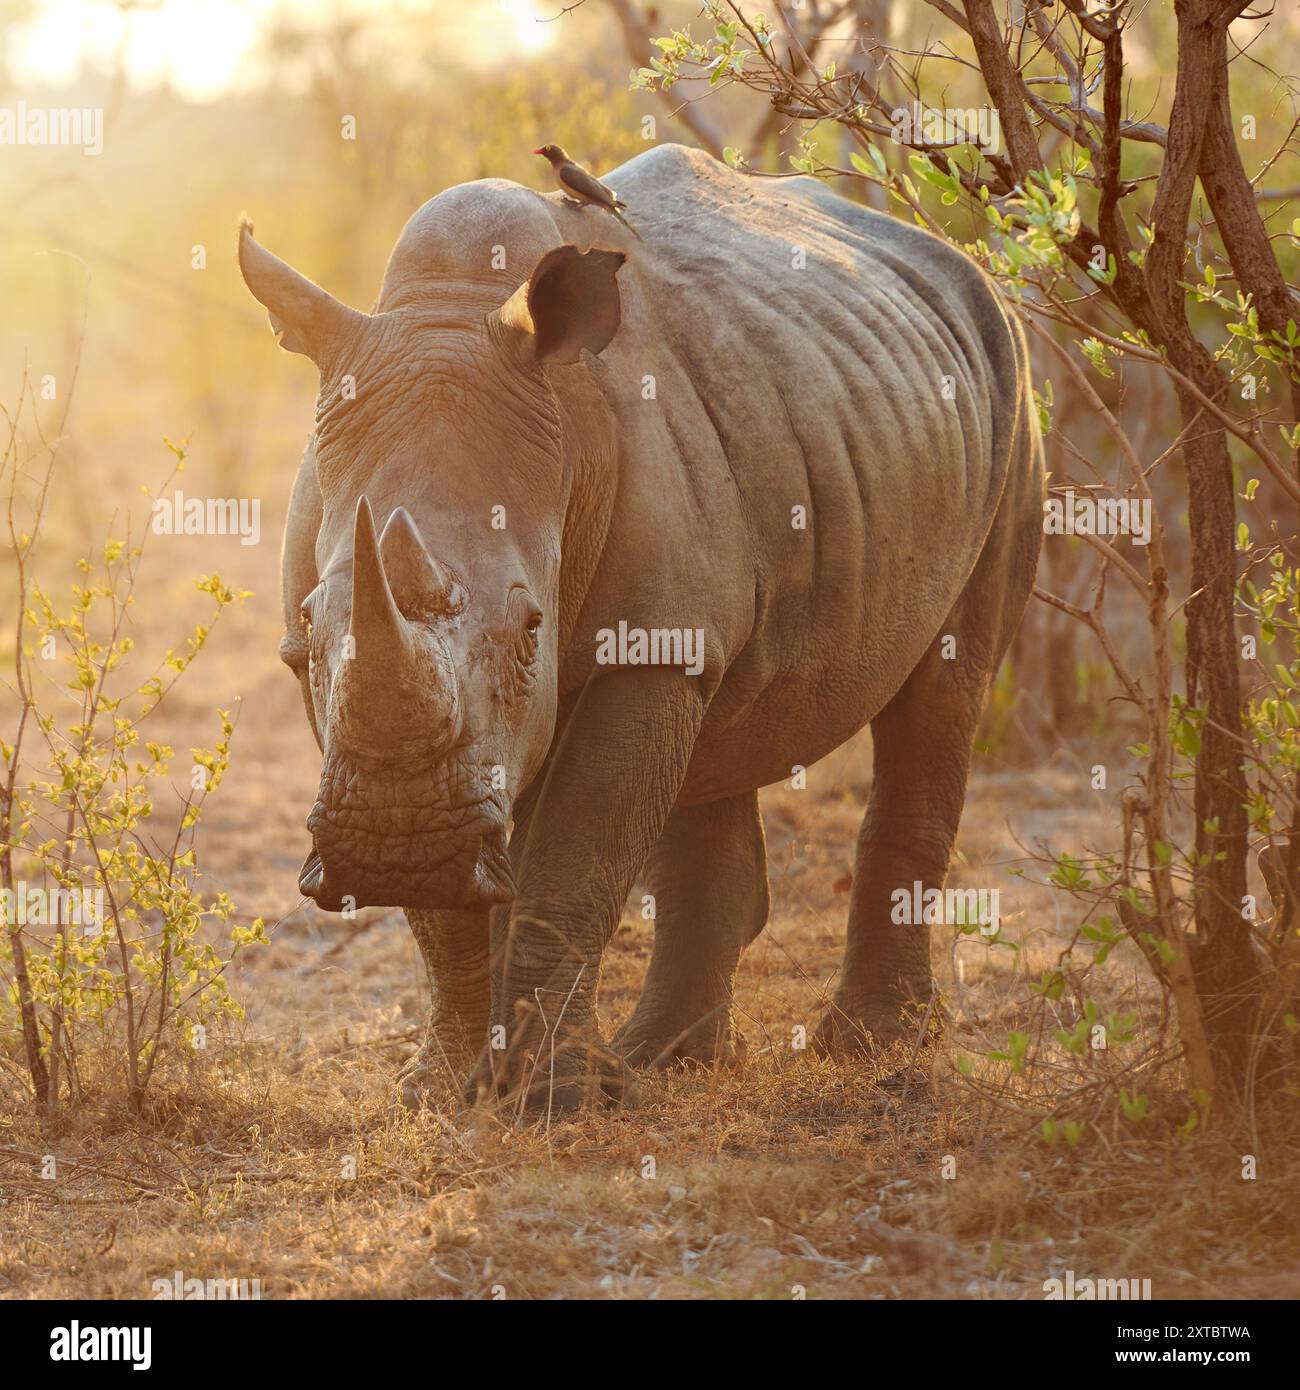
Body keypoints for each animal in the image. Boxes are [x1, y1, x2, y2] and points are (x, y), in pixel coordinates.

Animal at [237, 143, 1043, 1109]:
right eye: (310, 630)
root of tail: (970, 271)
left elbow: (575, 864)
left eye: (530, 630)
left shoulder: (646, 652)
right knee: (722, 733)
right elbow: (448, 913)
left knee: (941, 691)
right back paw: (672, 1061)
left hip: (1014, 396)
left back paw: (869, 1048)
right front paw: (445, 1090)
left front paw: (553, 1103)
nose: (398, 848)